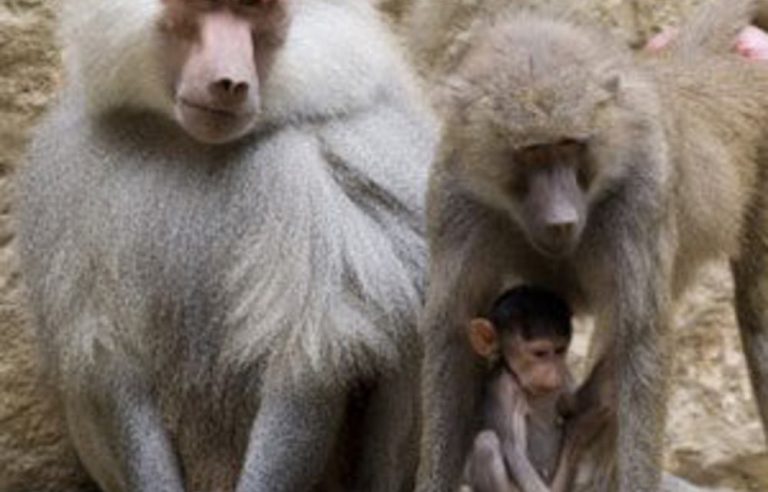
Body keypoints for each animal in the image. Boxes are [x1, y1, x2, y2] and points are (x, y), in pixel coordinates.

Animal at [16, 0, 437, 491]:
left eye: (255, 12)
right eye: (204, 9)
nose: (230, 83)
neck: (198, 144)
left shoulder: (309, 171)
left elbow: (311, 358)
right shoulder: (84, 171)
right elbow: (112, 365)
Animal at [461, 286, 612, 492]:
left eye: (560, 350)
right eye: (539, 354)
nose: (553, 373)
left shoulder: (564, 373)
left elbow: (573, 401)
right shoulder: (504, 389)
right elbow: (513, 449)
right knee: (486, 442)